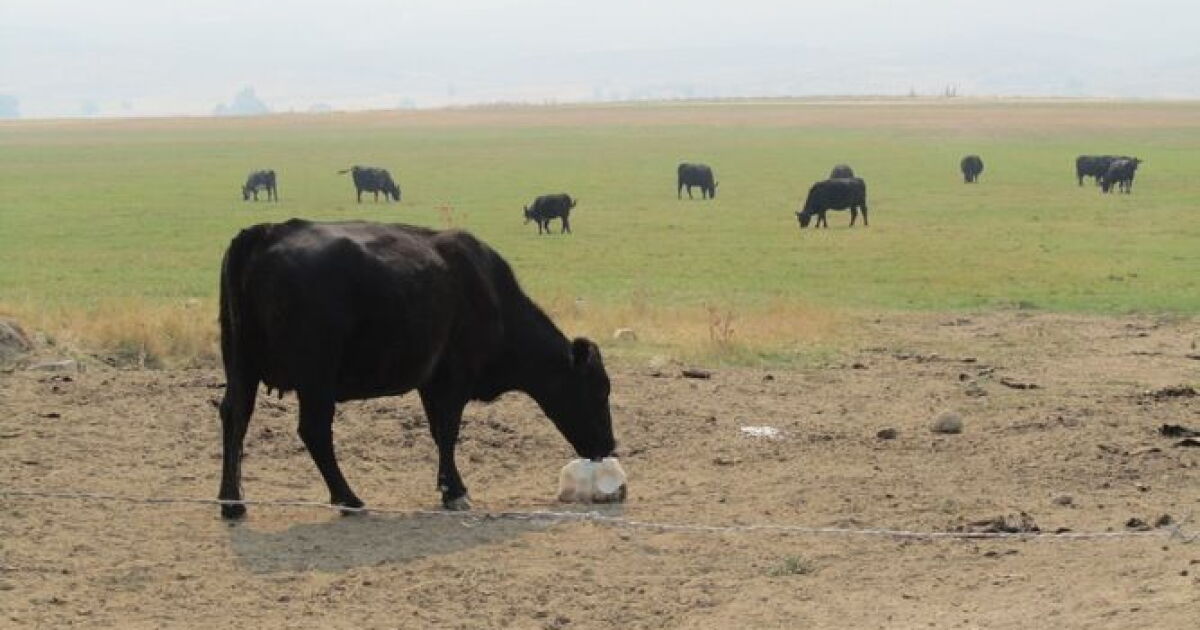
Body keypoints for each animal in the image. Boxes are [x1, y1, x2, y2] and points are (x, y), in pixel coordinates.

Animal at [216, 219, 618, 519]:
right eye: (600, 390)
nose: (610, 445)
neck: (491, 295)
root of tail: (267, 232)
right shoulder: (455, 378)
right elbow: (449, 431)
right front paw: (454, 491)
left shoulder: (430, 382)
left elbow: (437, 431)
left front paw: (449, 486)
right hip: (316, 376)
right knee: (313, 430)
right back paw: (349, 498)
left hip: (241, 366)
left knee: (235, 416)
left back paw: (232, 501)